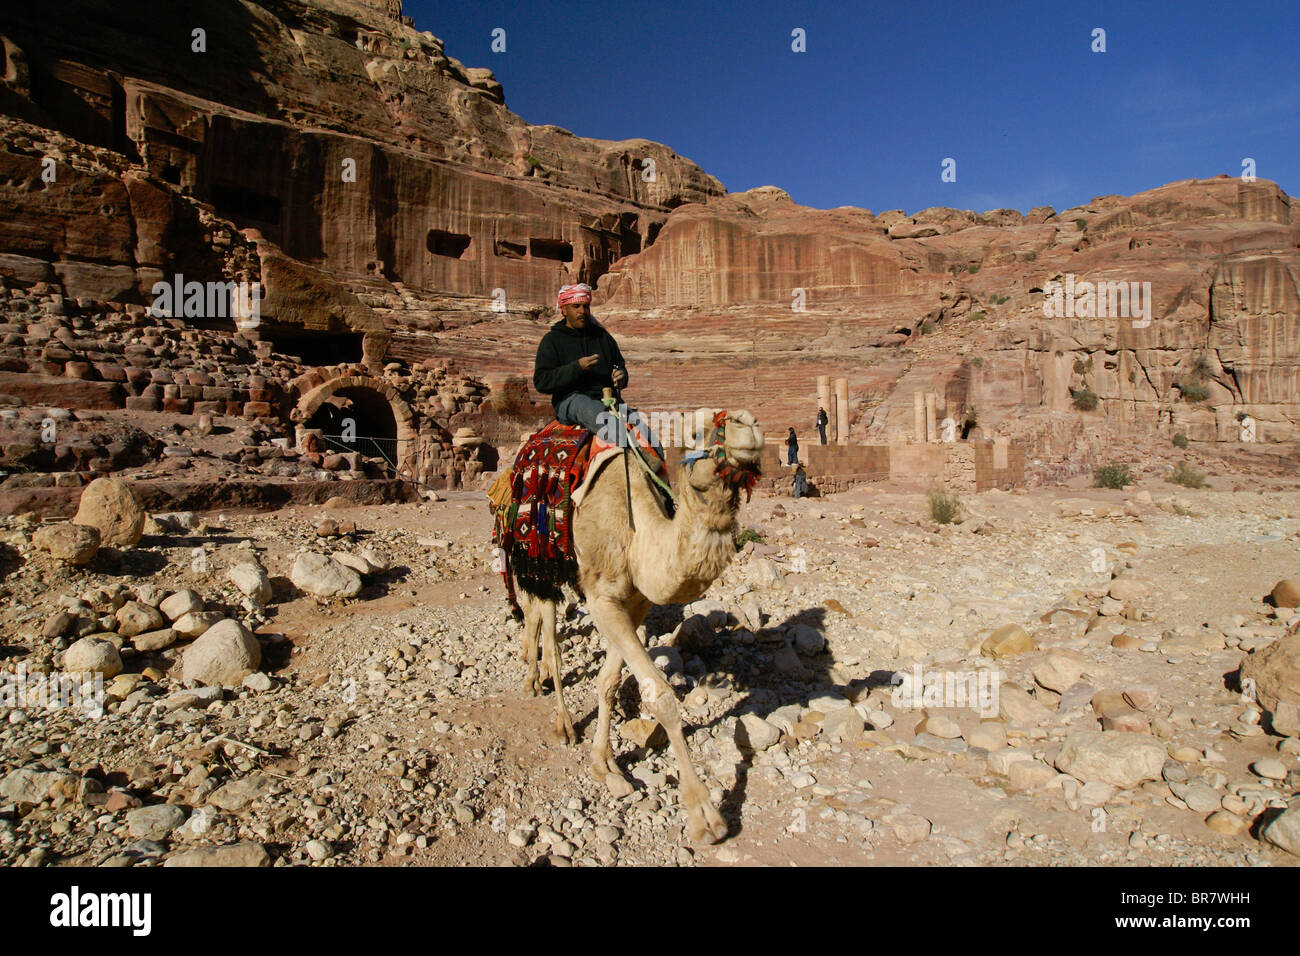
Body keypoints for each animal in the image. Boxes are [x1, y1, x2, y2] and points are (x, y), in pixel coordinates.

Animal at [512, 408, 763, 845]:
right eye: (694, 432)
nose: (746, 424)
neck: (638, 534)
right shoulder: (601, 597)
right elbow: (659, 695)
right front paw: (704, 815)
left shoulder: (636, 602)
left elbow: (609, 682)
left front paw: (605, 765)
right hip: (540, 558)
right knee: (546, 627)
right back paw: (559, 717)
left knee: (536, 619)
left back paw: (535, 678)